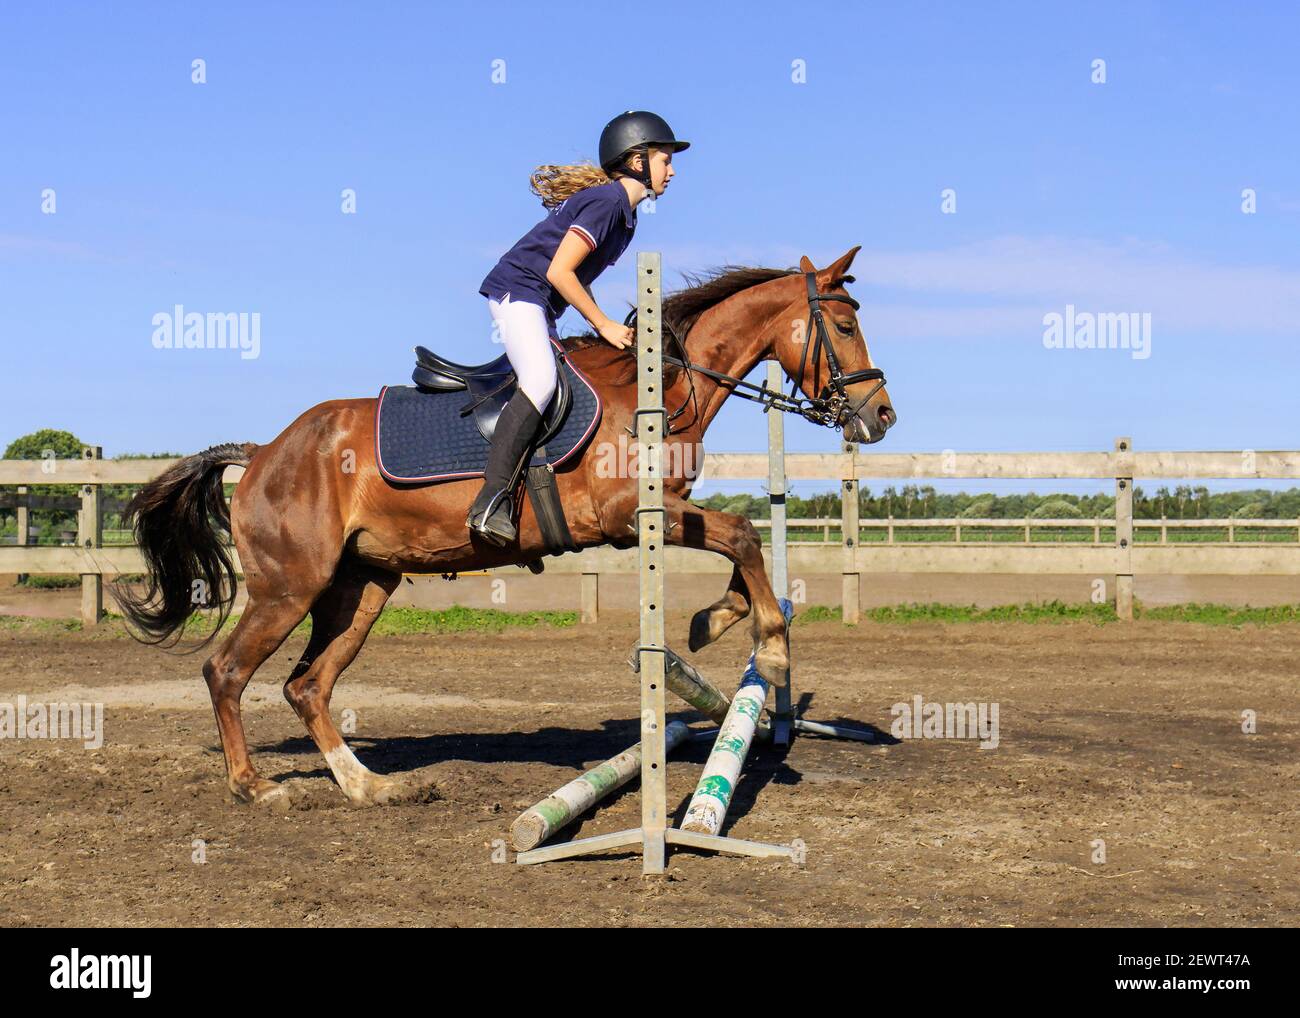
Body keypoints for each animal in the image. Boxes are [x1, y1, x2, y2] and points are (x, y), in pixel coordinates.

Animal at [114, 246, 896, 807]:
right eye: (846, 326)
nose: (882, 416)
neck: (660, 388)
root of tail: (263, 451)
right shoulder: (628, 516)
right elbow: (741, 534)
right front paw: (770, 648)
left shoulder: (660, 514)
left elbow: (740, 540)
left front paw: (715, 620)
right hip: (290, 586)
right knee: (226, 672)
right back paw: (255, 786)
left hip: (360, 588)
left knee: (308, 686)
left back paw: (371, 786)